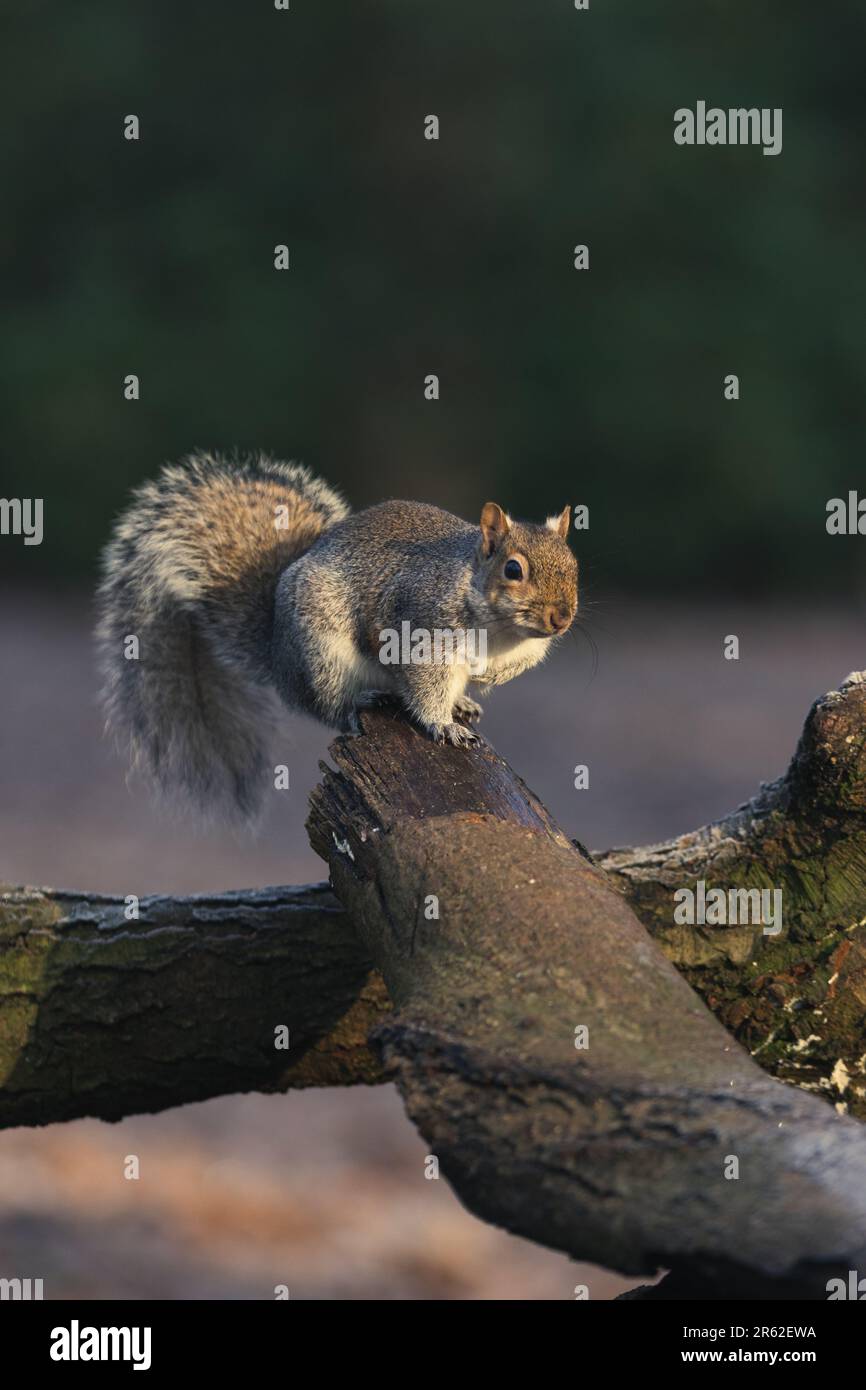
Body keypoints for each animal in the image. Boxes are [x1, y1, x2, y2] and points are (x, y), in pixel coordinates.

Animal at [96, 451, 578, 821]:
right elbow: (425, 686)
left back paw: (461, 701)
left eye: (574, 565)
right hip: (321, 655)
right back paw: (360, 703)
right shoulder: (419, 628)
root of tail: (277, 650)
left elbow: (508, 668)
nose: (562, 618)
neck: (499, 629)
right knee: (327, 707)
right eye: (513, 569)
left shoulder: (524, 650)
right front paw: (443, 726)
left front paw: (483, 681)